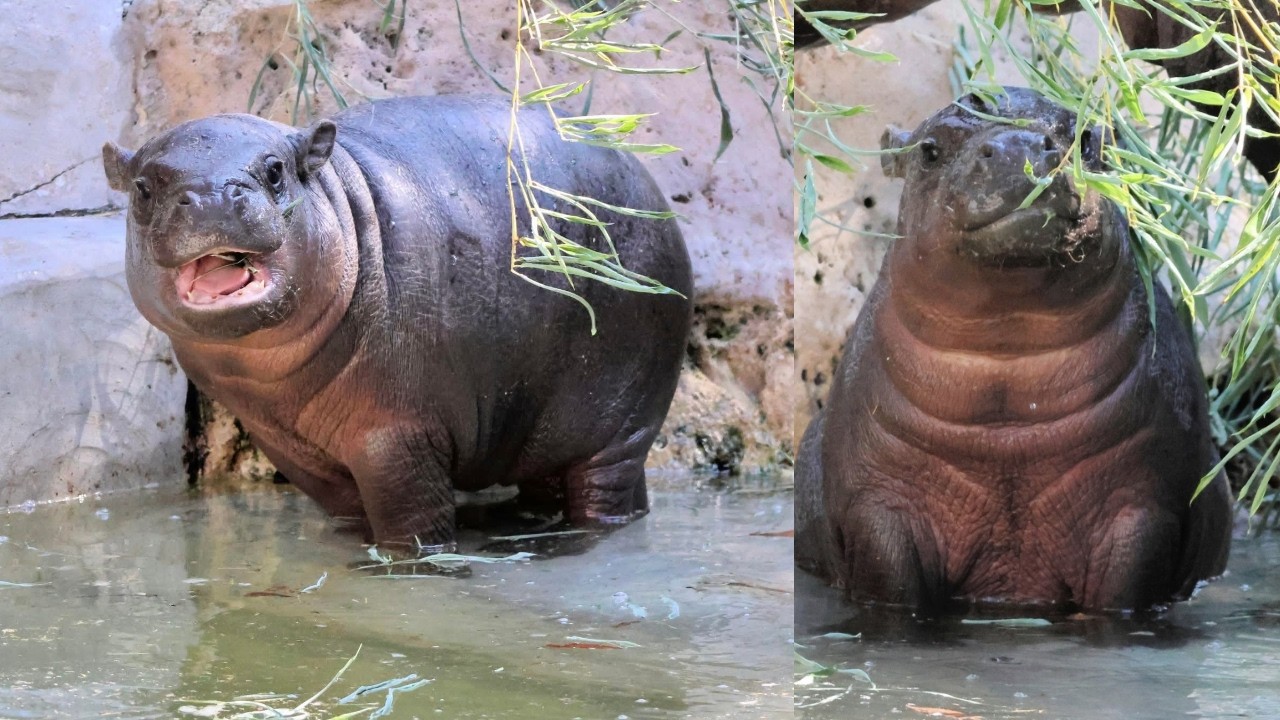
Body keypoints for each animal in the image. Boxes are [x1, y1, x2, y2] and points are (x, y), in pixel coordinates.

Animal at [101, 95, 693, 553]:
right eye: (143, 188)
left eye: (274, 170)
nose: (211, 196)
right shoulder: (298, 453)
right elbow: (352, 513)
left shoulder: (396, 435)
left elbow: (413, 523)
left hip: (620, 425)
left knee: (605, 494)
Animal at [796, 88, 1232, 612]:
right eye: (929, 149)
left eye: (1088, 138)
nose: (1017, 148)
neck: (1008, 353)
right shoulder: (878, 505)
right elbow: (892, 578)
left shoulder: (1142, 507)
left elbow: (1127, 581)